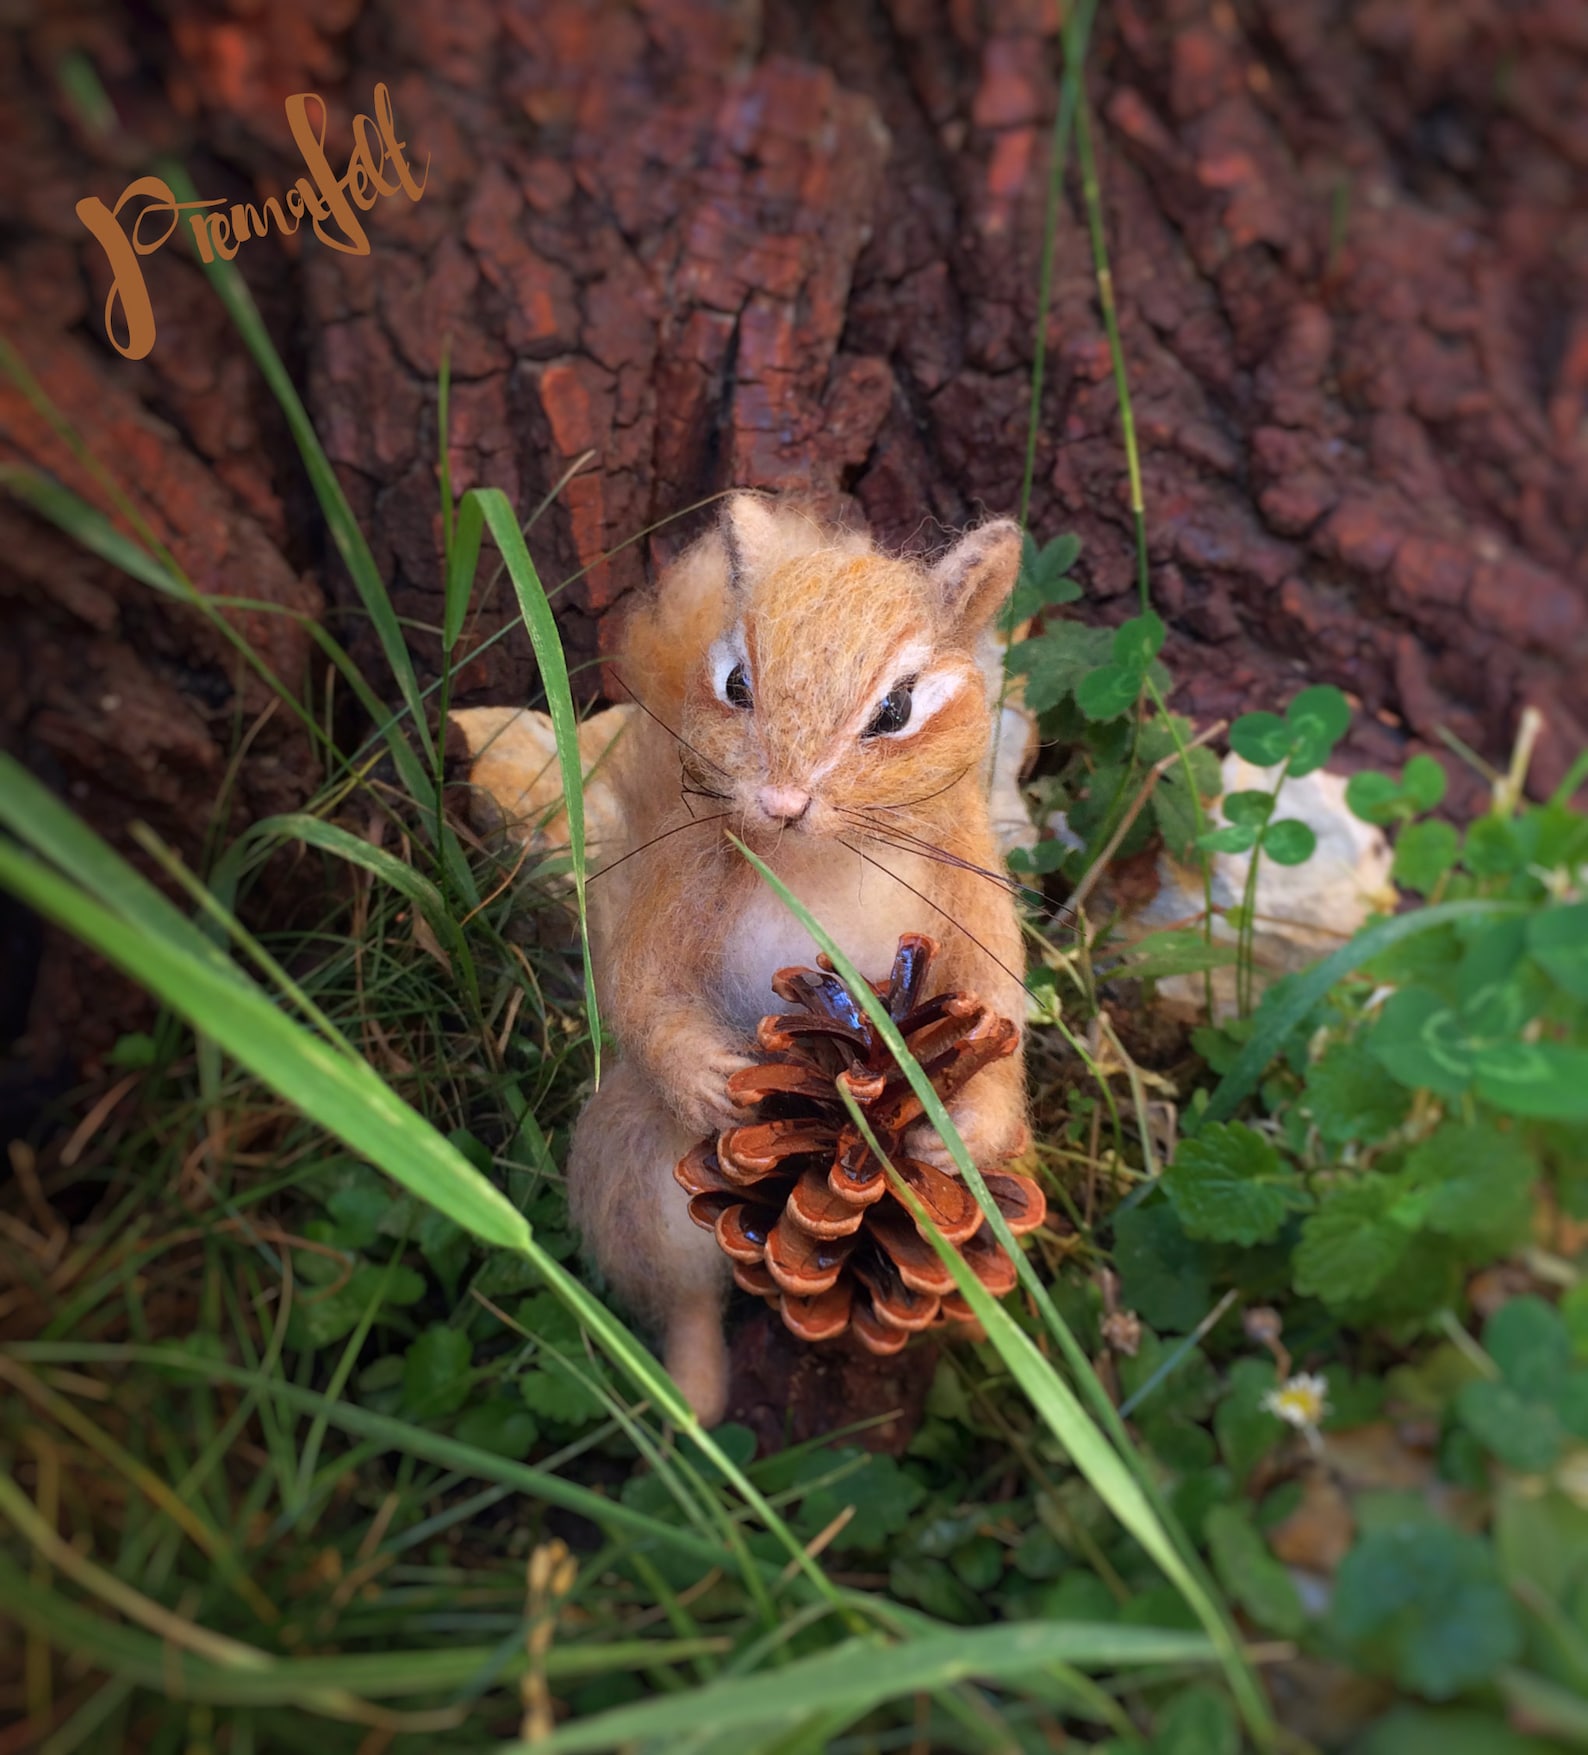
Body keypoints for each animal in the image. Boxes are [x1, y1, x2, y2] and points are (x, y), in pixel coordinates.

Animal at [567, 494, 1030, 1425]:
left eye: (896, 710)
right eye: (736, 685)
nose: (782, 801)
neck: (824, 856)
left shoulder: (974, 895)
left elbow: (1001, 1010)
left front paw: (956, 1131)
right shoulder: (684, 877)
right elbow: (641, 990)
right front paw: (708, 1075)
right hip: (646, 1182)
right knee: (687, 1294)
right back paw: (695, 1397)